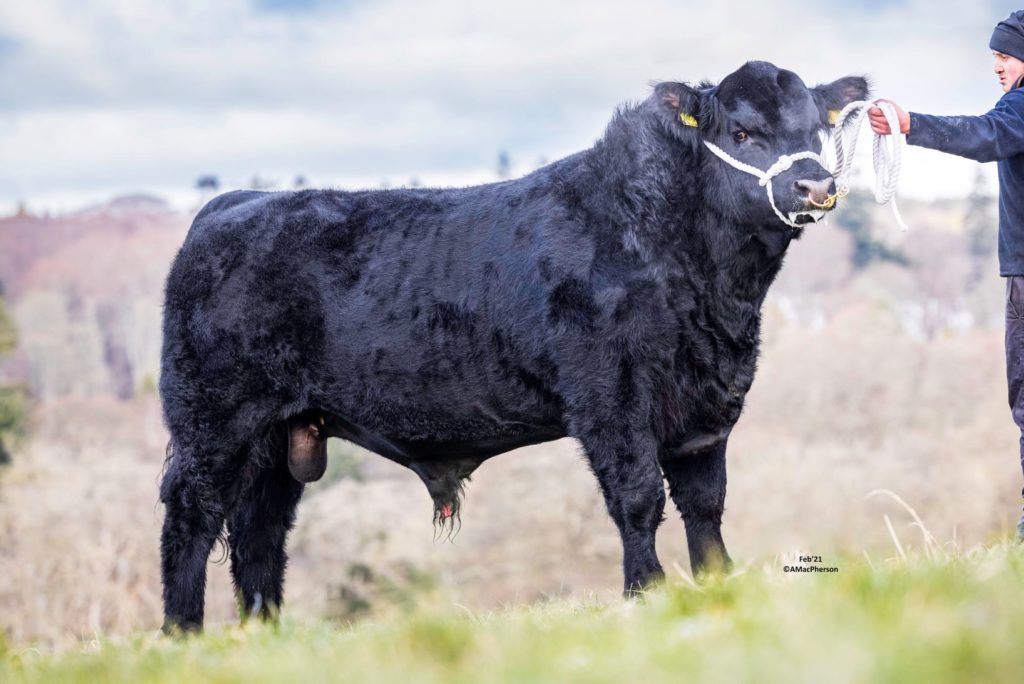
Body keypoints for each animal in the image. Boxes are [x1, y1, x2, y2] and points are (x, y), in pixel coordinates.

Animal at [158, 60, 868, 633]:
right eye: (743, 133)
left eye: (817, 132)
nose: (815, 187)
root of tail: (234, 204)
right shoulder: (609, 398)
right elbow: (638, 496)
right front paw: (646, 593)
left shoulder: (707, 403)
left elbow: (705, 503)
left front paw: (719, 587)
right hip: (212, 420)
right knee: (191, 516)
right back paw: (184, 635)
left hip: (280, 434)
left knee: (260, 532)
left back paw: (264, 633)